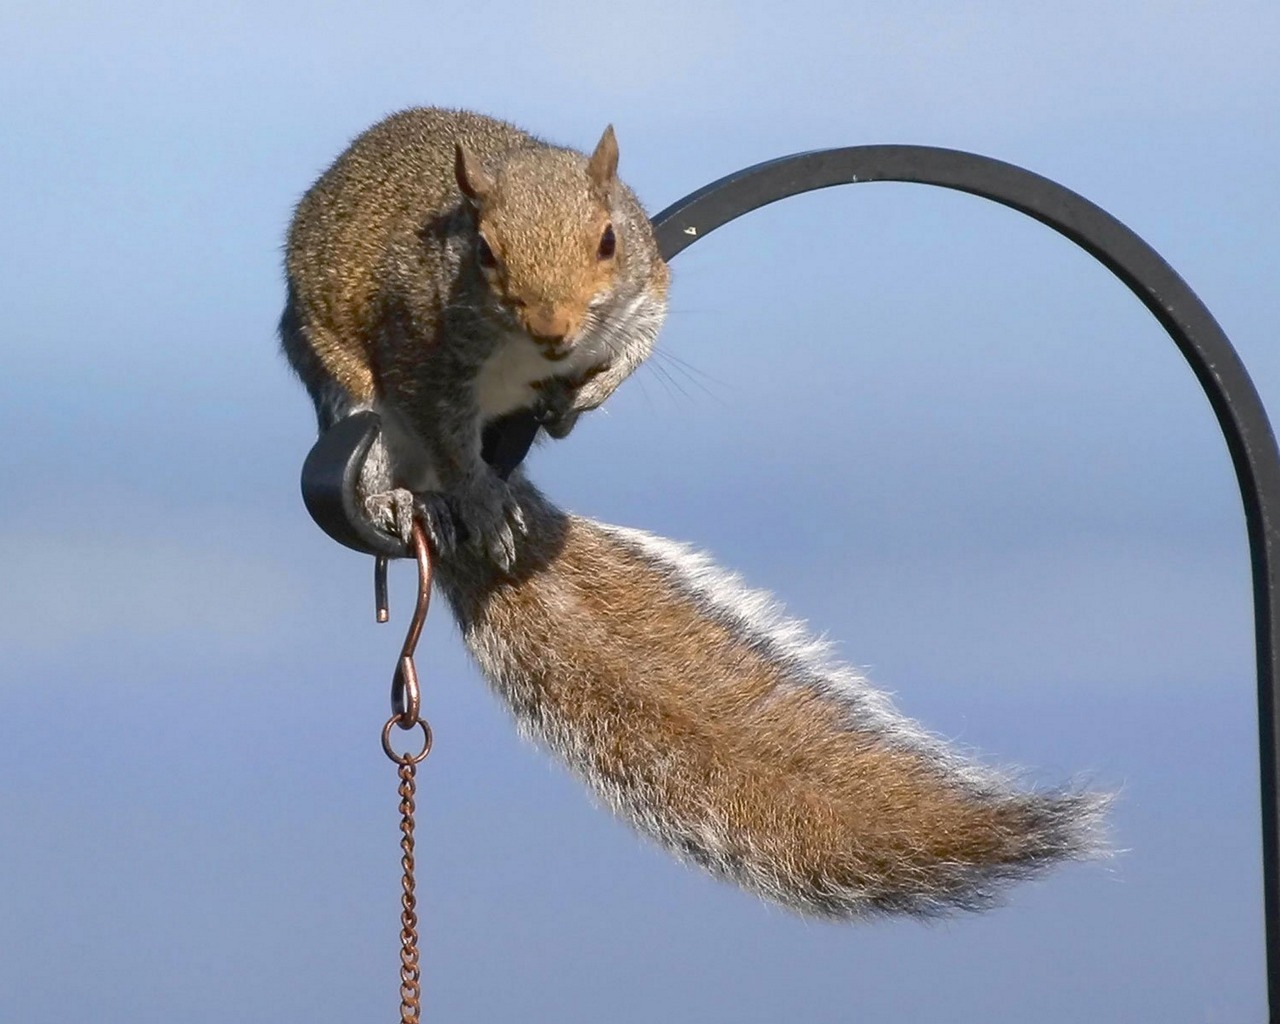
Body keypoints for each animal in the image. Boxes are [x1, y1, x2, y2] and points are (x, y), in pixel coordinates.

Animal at [281, 106, 1108, 918]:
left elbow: (640, 340)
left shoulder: (649, 283)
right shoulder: (420, 354)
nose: (554, 331)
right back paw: (417, 500)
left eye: (609, 238)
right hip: (353, 401)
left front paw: (598, 386)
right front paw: (482, 496)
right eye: (484, 253)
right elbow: (449, 437)